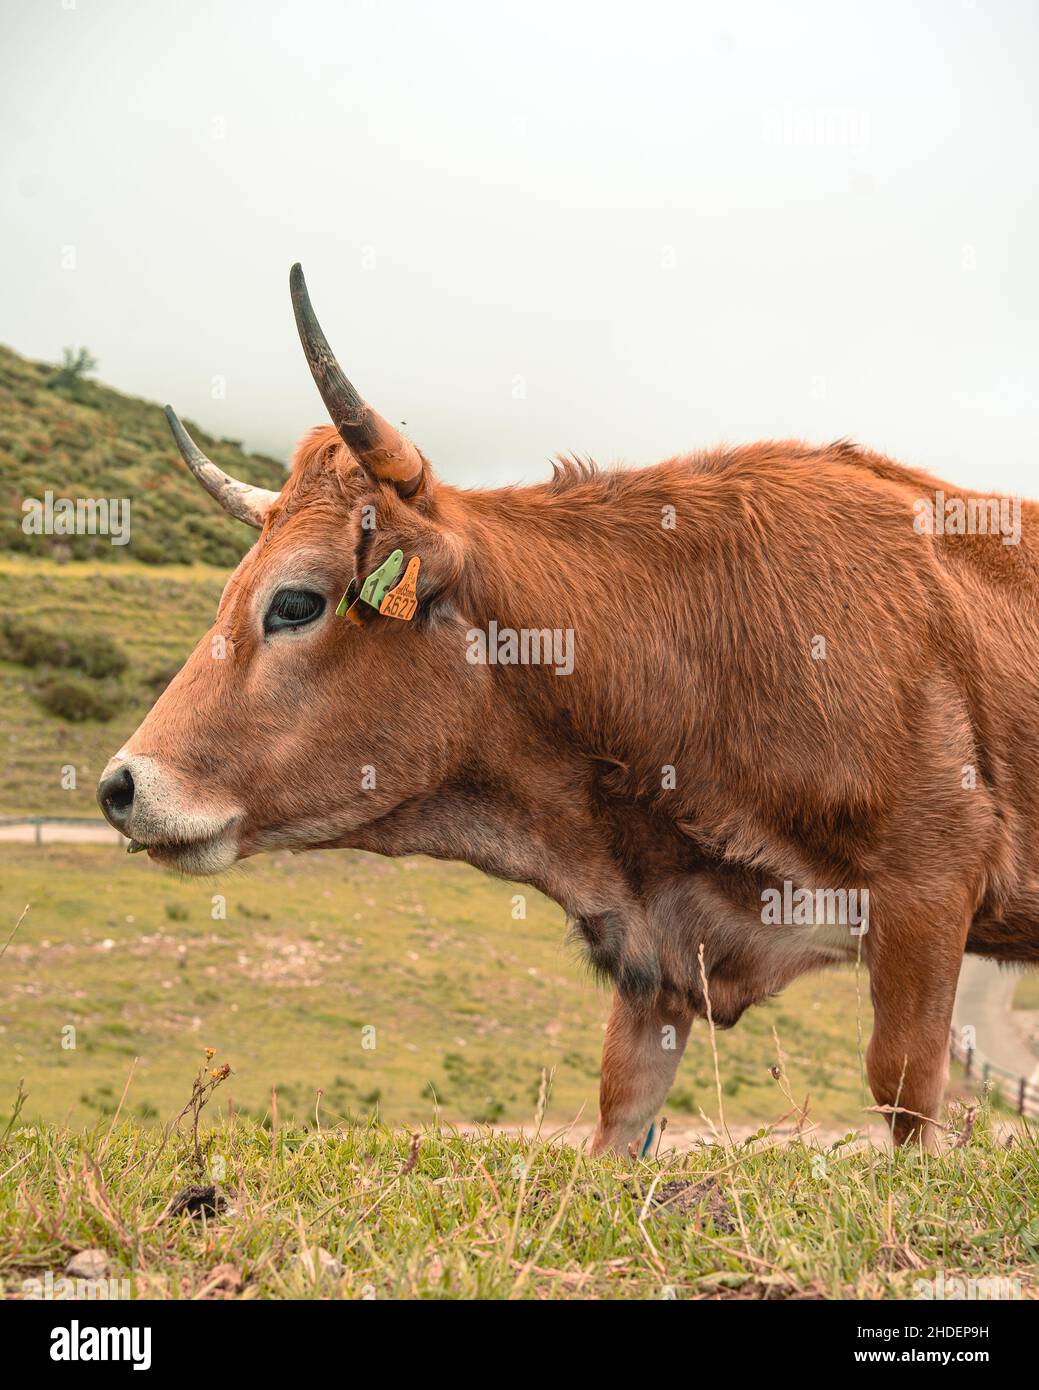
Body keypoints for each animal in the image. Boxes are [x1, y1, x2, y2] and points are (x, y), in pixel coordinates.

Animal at [98, 265, 1039, 1155]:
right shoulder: (658, 960)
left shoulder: (925, 895)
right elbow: (619, 1112)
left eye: (294, 603)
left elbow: (904, 1091)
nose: (119, 788)